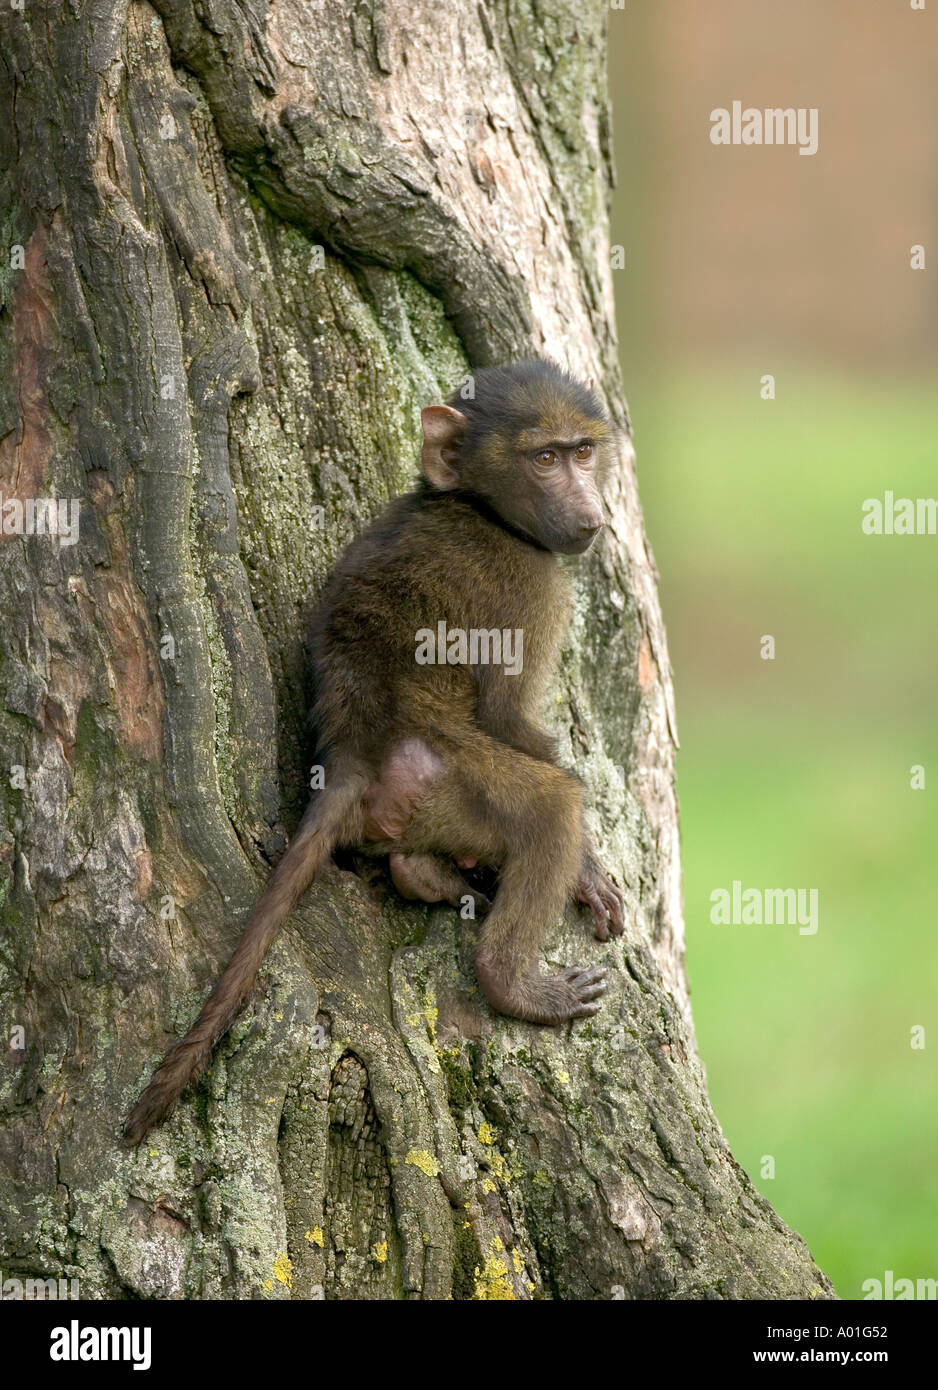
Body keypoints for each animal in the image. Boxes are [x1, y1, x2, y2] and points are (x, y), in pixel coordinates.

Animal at [124, 360, 625, 1145]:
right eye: (544, 458)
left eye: (581, 452)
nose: (591, 512)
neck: (477, 508)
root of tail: (352, 756)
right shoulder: (530, 588)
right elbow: (511, 717)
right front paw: (589, 872)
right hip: (451, 783)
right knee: (550, 804)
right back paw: (508, 981)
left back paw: (426, 878)